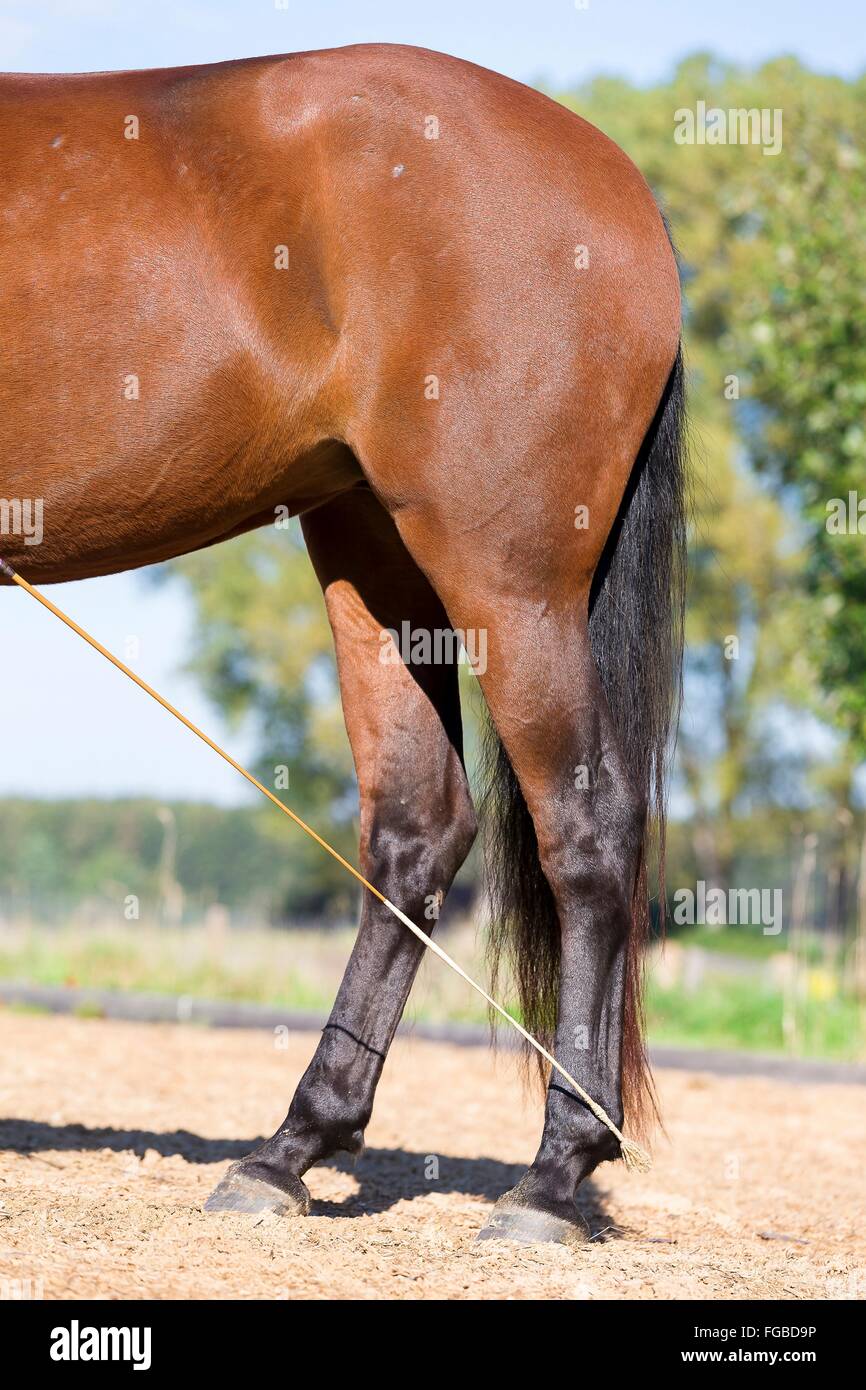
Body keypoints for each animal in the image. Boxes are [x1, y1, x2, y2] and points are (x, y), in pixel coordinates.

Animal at [0, 43, 686, 1245]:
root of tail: (620, 184)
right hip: (372, 549)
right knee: (418, 828)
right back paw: (288, 1150)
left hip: (506, 577)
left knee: (588, 829)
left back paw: (552, 1175)